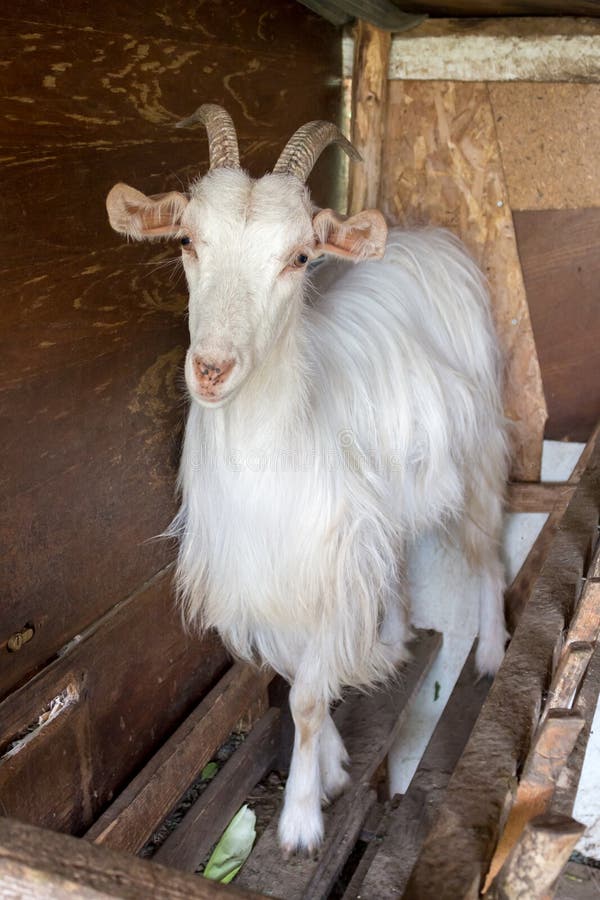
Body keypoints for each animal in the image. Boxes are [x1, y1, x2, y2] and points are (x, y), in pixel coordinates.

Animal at [106, 104, 508, 856]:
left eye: (298, 257)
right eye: (188, 242)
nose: (212, 369)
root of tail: (427, 238)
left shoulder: (327, 562)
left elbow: (307, 698)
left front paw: (298, 821)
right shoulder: (270, 574)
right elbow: (296, 680)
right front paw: (331, 770)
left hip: (477, 452)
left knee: (486, 544)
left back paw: (495, 650)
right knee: (399, 558)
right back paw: (395, 640)